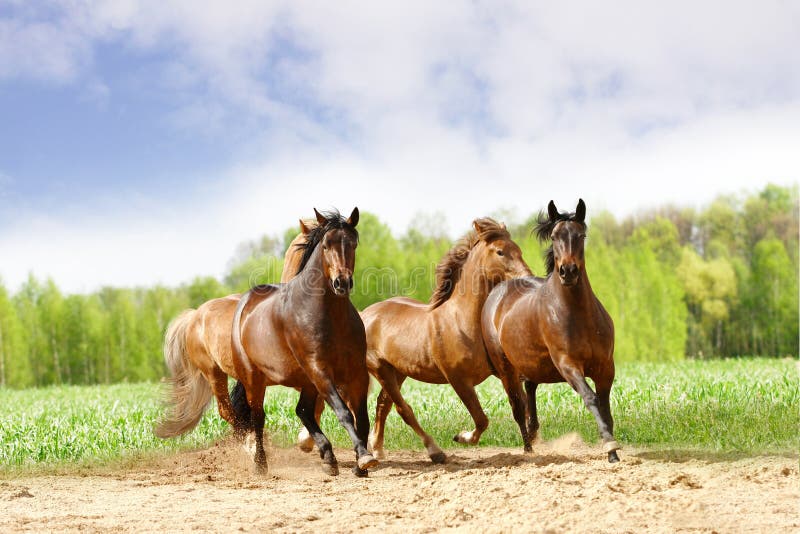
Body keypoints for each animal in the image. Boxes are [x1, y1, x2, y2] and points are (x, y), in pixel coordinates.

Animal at [228, 208, 377, 476]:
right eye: (326, 245)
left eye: (352, 244)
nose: (341, 283)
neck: (330, 316)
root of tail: (245, 304)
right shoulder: (319, 369)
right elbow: (344, 412)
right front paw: (364, 457)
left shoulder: (356, 372)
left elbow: (361, 417)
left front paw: (361, 463)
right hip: (255, 379)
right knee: (258, 417)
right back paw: (261, 464)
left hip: (306, 380)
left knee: (303, 410)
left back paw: (328, 457)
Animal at [361, 218, 531, 463]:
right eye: (500, 251)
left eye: (518, 249)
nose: (527, 278)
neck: (461, 322)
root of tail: (364, 315)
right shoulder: (458, 380)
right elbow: (481, 419)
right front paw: (461, 437)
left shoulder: (504, 372)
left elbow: (520, 406)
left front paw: (532, 447)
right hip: (380, 369)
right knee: (403, 409)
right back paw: (435, 451)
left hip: (398, 372)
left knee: (383, 404)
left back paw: (377, 449)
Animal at [481, 199, 621, 463]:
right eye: (555, 237)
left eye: (581, 235)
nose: (568, 271)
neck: (578, 315)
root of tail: (498, 291)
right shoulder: (568, 365)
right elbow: (591, 398)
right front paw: (610, 446)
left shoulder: (606, 367)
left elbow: (605, 406)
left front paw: (613, 450)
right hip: (506, 370)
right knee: (518, 407)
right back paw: (528, 449)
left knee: (529, 393)